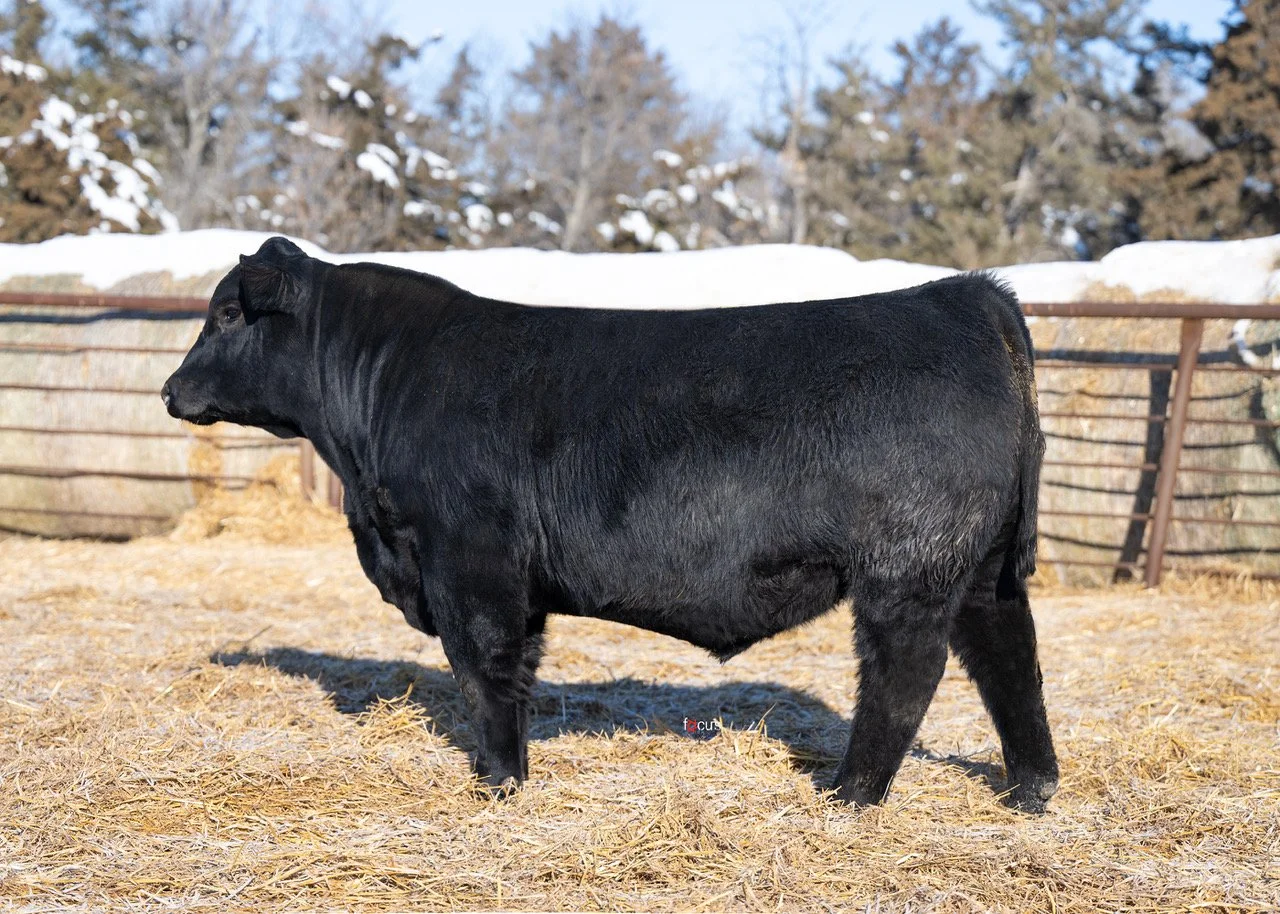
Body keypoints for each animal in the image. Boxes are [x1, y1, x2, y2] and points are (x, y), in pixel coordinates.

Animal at [162, 236, 1058, 812]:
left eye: (229, 316)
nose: (170, 390)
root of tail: (964, 294)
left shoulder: (471, 560)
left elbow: (484, 667)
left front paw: (498, 782)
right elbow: (517, 669)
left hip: (909, 570)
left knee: (906, 674)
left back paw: (850, 795)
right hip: (983, 570)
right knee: (1009, 657)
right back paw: (1030, 788)